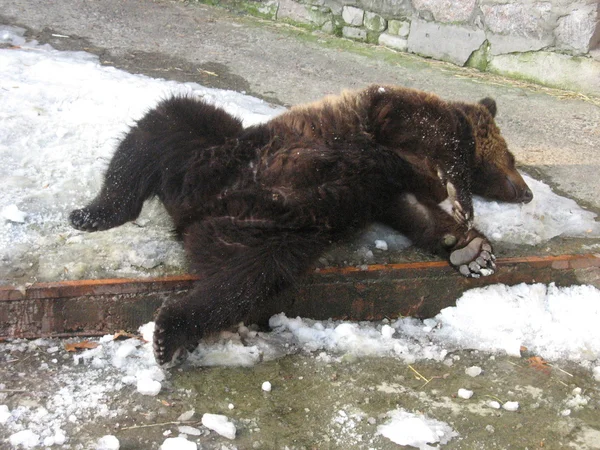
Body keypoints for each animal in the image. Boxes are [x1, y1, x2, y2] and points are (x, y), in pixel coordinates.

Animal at [70, 85, 528, 366]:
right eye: (513, 159)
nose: (526, 192)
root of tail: (193, 210)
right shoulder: (387, 120)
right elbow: (426, 129)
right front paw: (460, 198)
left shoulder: (382, 192)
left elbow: (415, 208)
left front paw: (470, 250)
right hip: (218, 152)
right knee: (167, 120)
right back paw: (92, 215)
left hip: (270, 235)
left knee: (244, 281)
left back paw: (171, 331)